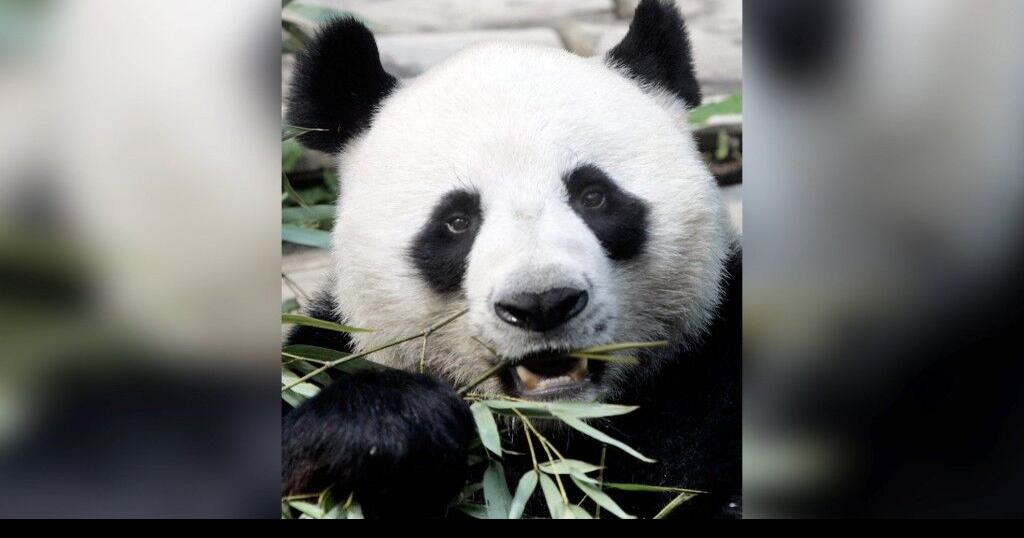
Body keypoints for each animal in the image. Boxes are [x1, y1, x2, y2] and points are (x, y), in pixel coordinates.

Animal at [282, 0, 741, 519]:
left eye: (593, 196)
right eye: (457, 221)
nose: (542, 303)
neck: (556, 431)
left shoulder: (710, 364)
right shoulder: (327, 346)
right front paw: (388, 426)